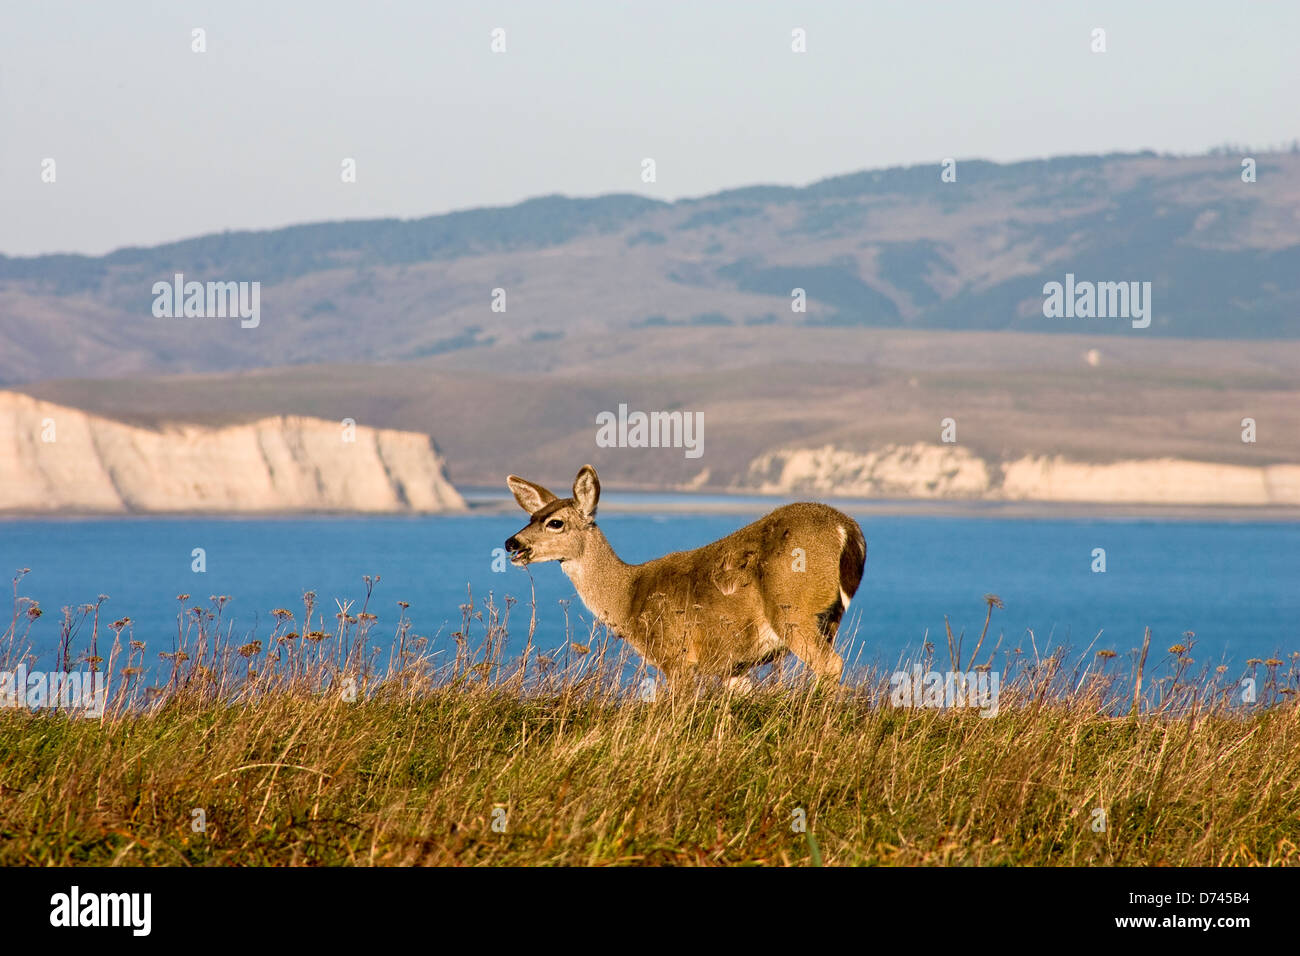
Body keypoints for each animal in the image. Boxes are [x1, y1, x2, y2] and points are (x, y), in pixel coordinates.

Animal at [504, 464, 866, 692]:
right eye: (531, 516)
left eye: (555, 523)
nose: (512, 543)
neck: (627, 597)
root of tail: (847, 528)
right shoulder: (732, 665)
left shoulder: (675, 655)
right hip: (827, 618)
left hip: (792, 607)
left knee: (830, 664)